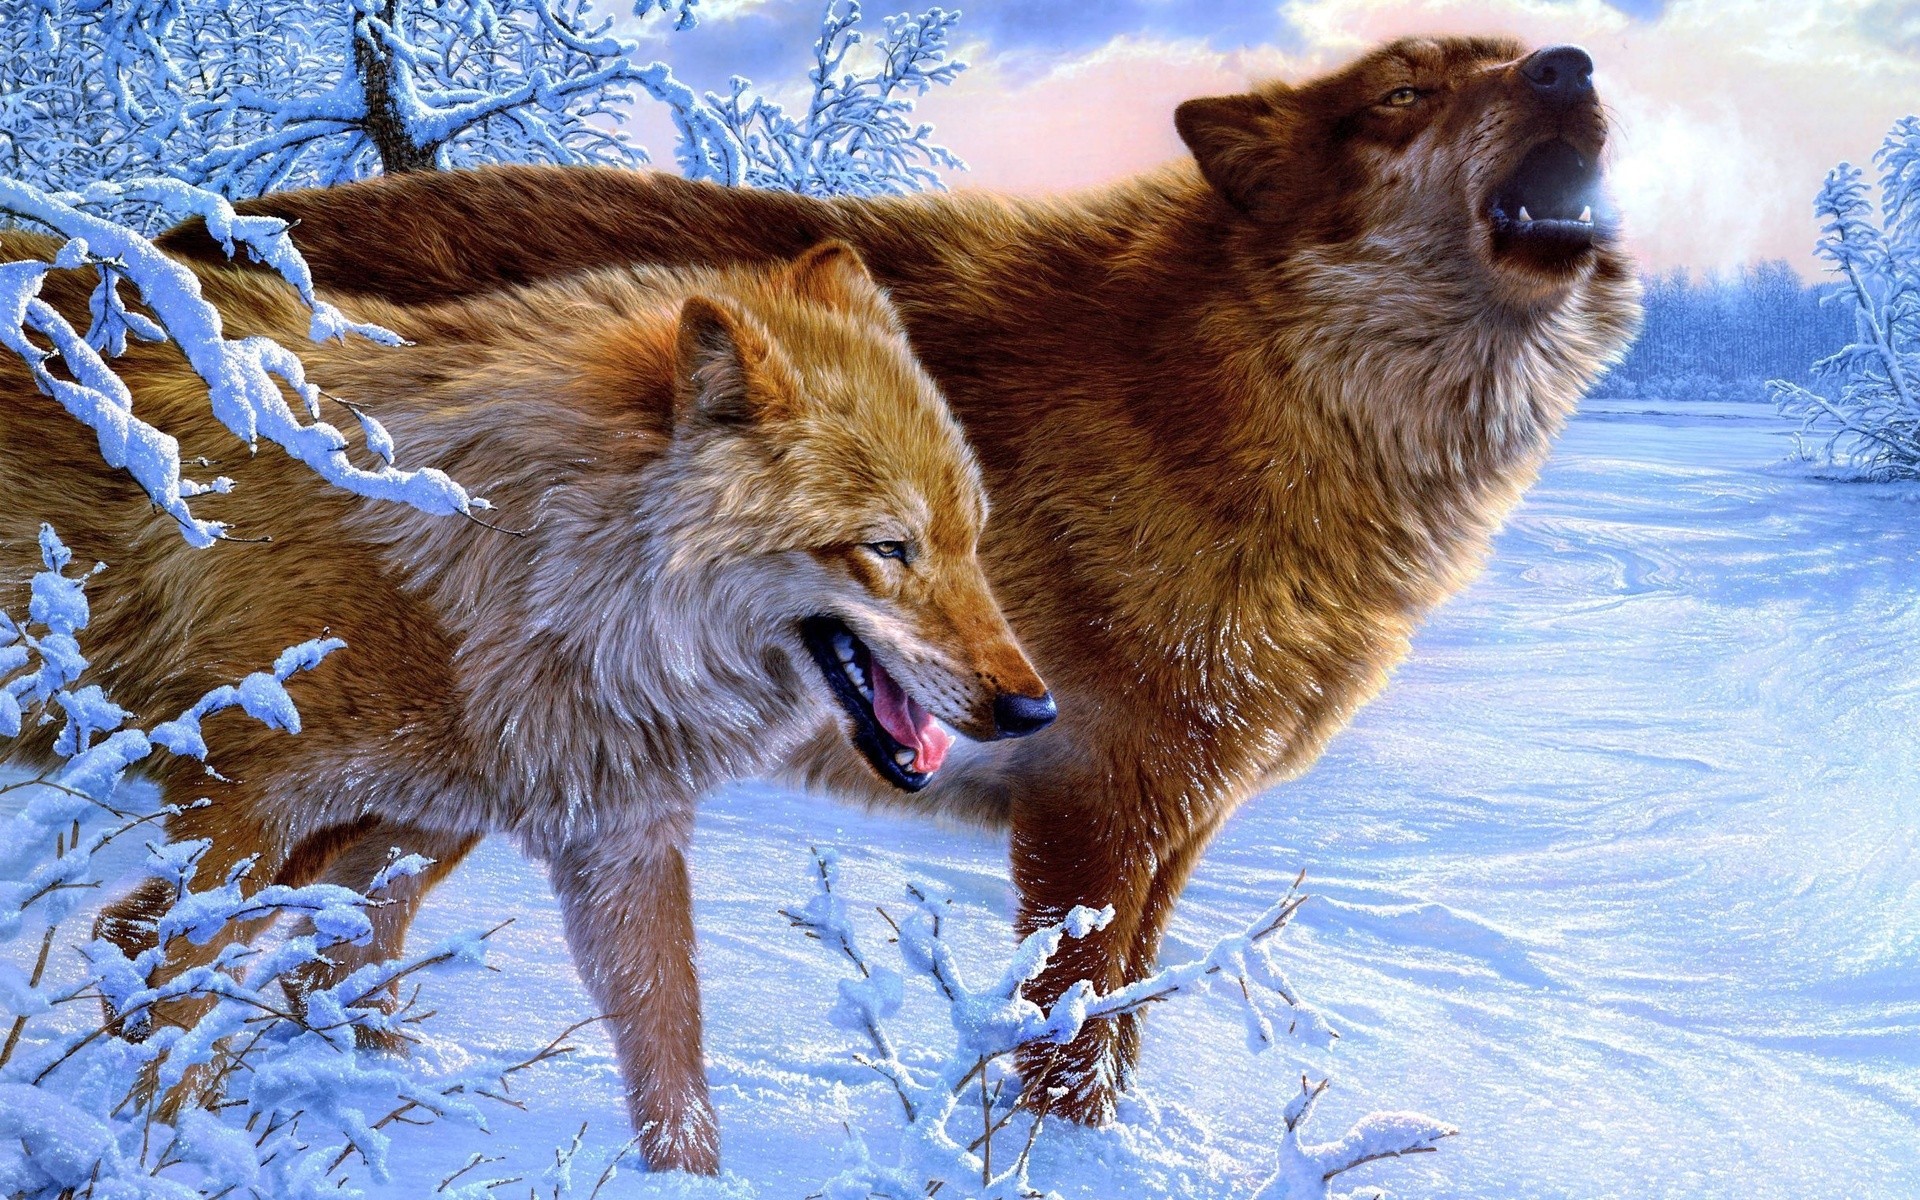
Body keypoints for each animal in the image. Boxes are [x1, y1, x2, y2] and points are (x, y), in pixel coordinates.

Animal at [0, 234, 1054, 1171]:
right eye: (889, 548)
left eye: (970, 540)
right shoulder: (241, 810)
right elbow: (156, 978)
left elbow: (669, 1055)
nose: (1034, 712)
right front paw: (153, 1152)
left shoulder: (600, 837)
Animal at [161, 37, 1642, 1121]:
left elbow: (1122, 1030)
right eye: (1405, 94)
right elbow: (1067, 1044)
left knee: (326, 948)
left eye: (1510, 58)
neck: (1257, 397)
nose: (1572, 62)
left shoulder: (1181, 820)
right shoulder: (1096, 812)